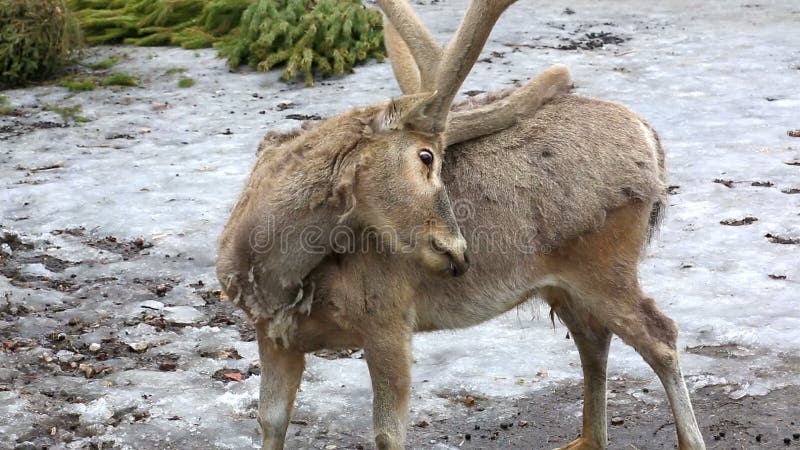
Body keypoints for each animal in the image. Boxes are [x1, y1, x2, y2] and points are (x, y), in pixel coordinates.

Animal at [215, 0, 707, 449]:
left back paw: (686, 439)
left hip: (605, 260)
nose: (458, 252)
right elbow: (271, 421)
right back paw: (587, 439)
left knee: (661, 335)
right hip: (560, 281)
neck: (275, 277)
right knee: (594, 339)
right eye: (426, 156)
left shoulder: (388, 318)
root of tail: (651, 141)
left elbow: (388, 435)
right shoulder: (273, 336)